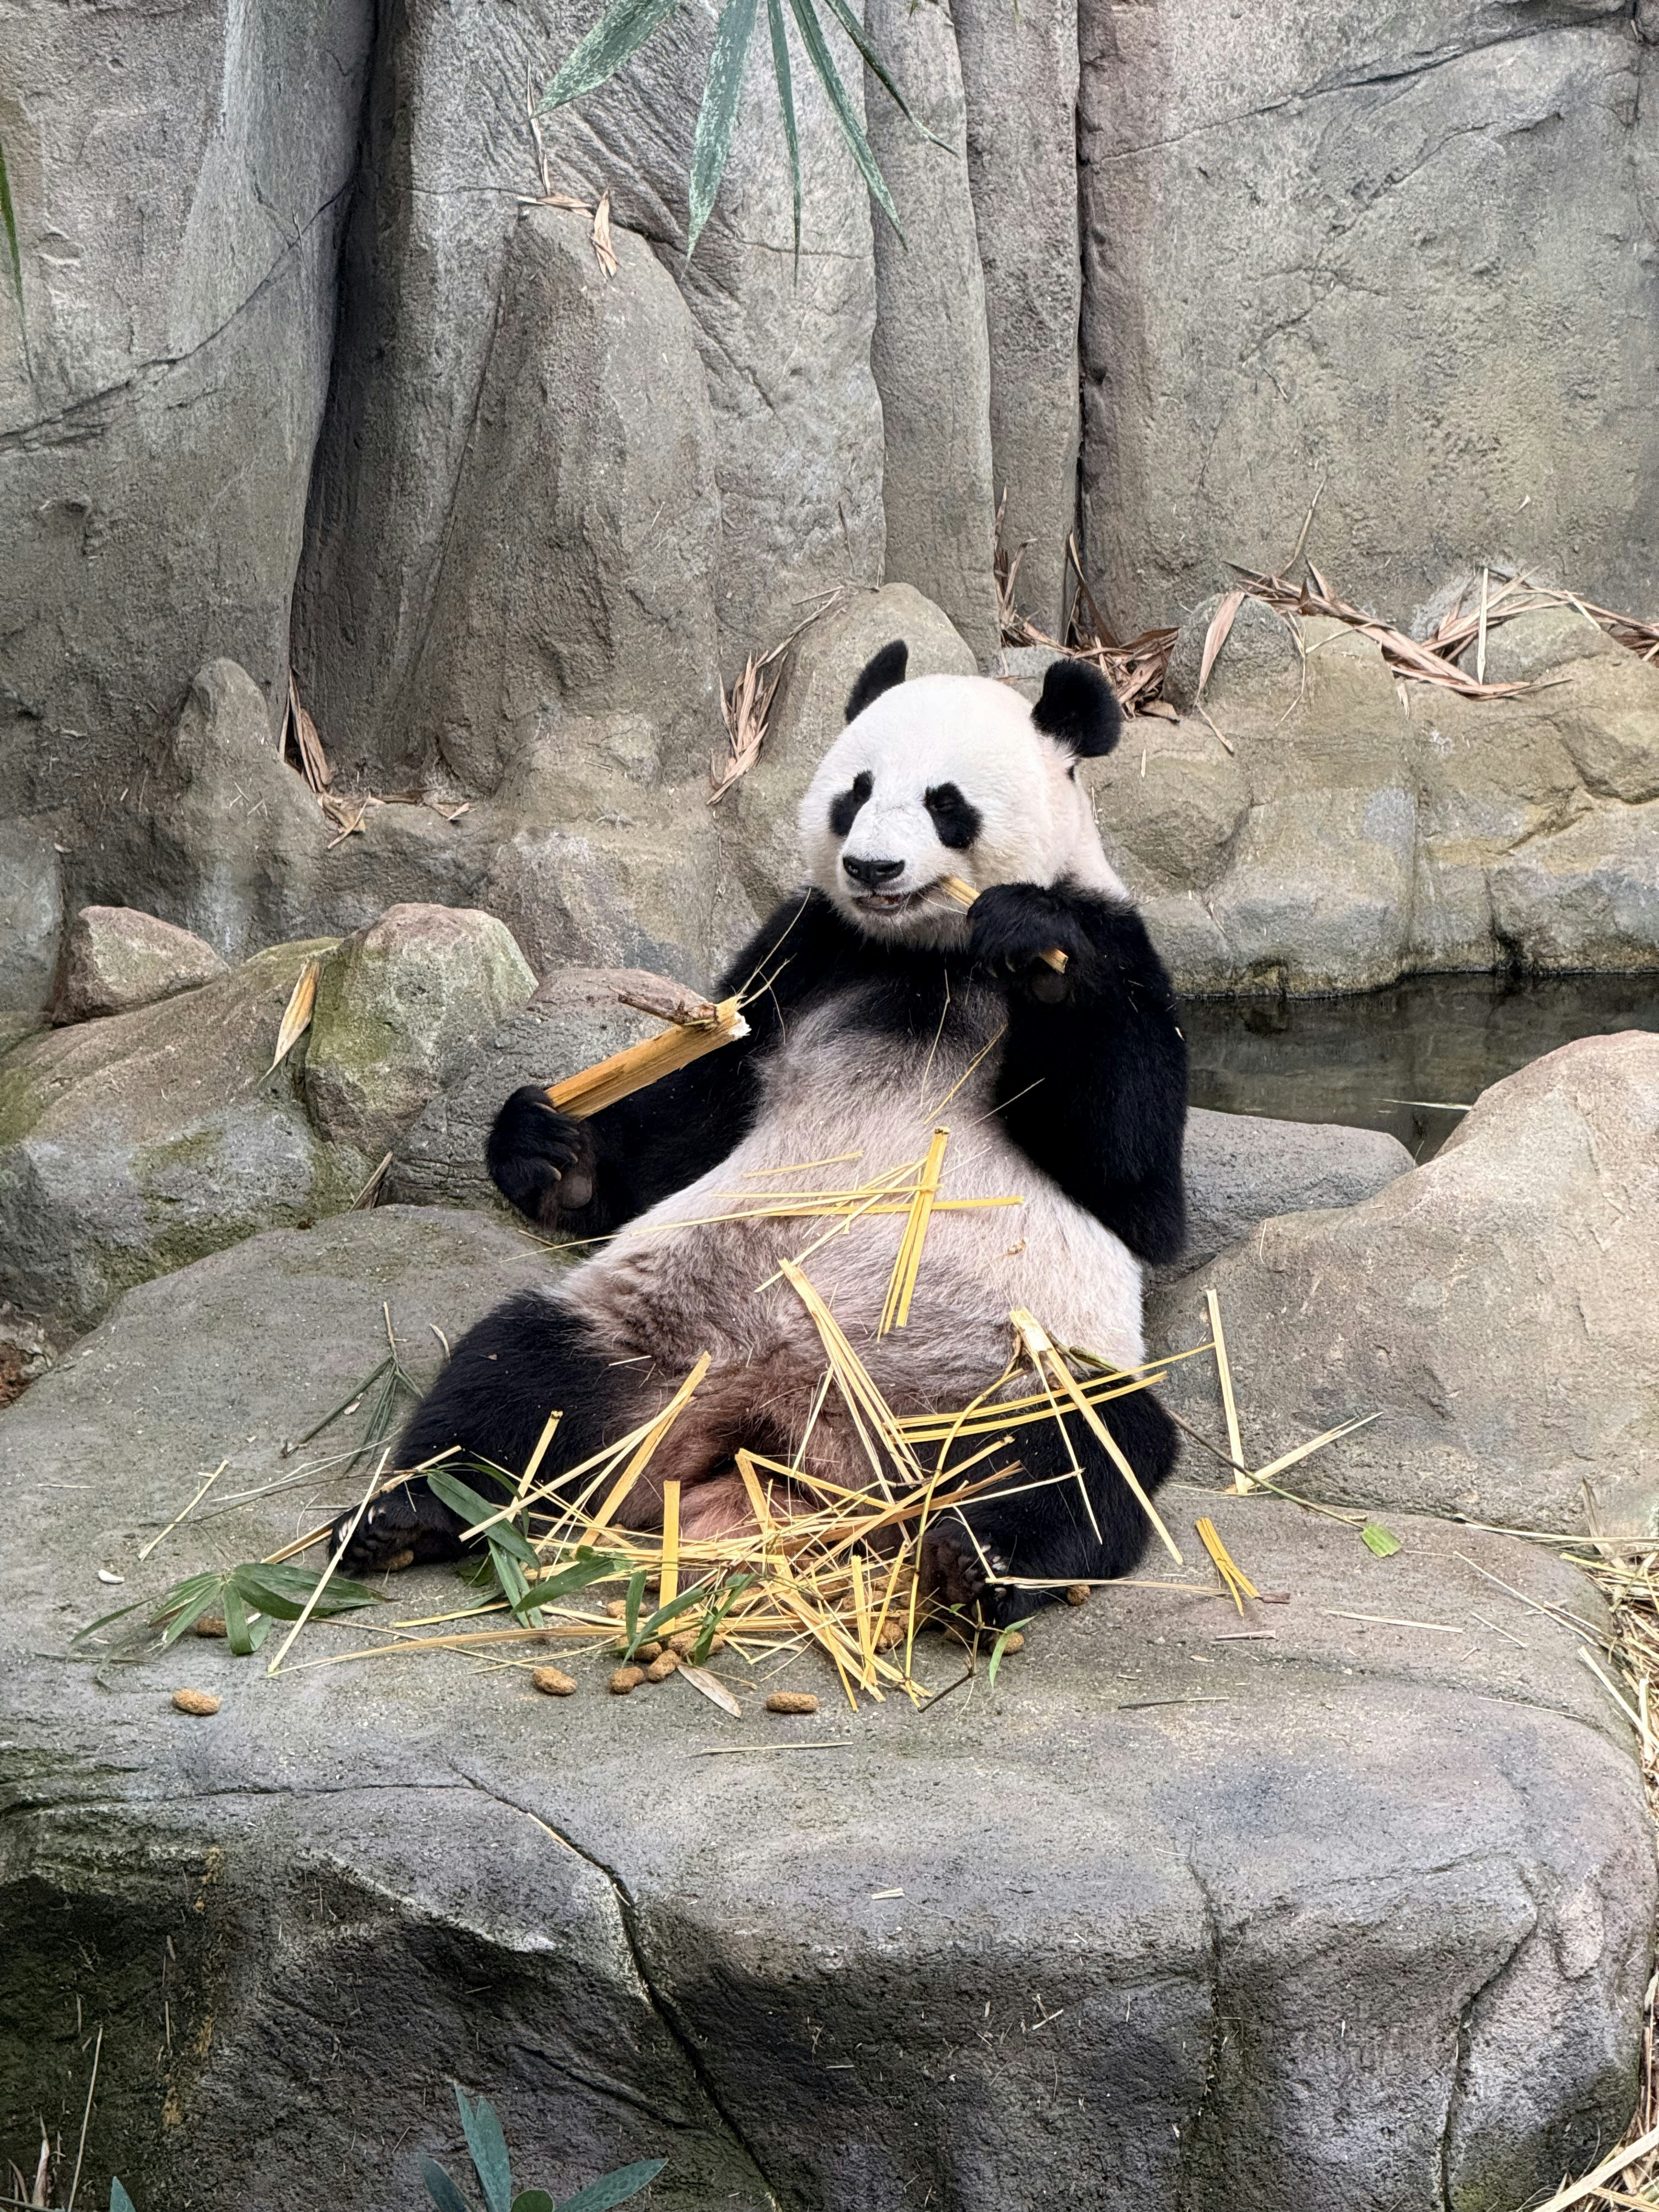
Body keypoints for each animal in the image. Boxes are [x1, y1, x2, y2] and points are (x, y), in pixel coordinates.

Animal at [339, 645, 1188, 1625]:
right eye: (855, 791)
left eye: (947, 802)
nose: (872, 868)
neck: (928, 957)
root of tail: (799, 1434)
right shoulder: (803, 952)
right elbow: (693, 1118)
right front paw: (551, 1151)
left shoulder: (1119, 942)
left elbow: (1136, 1184)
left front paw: (1036, 947)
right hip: (663, 1329)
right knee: (522, 1377)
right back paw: (408, 1516)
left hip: (1006, 1366)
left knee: (1079, 1451)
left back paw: (975, 1560)